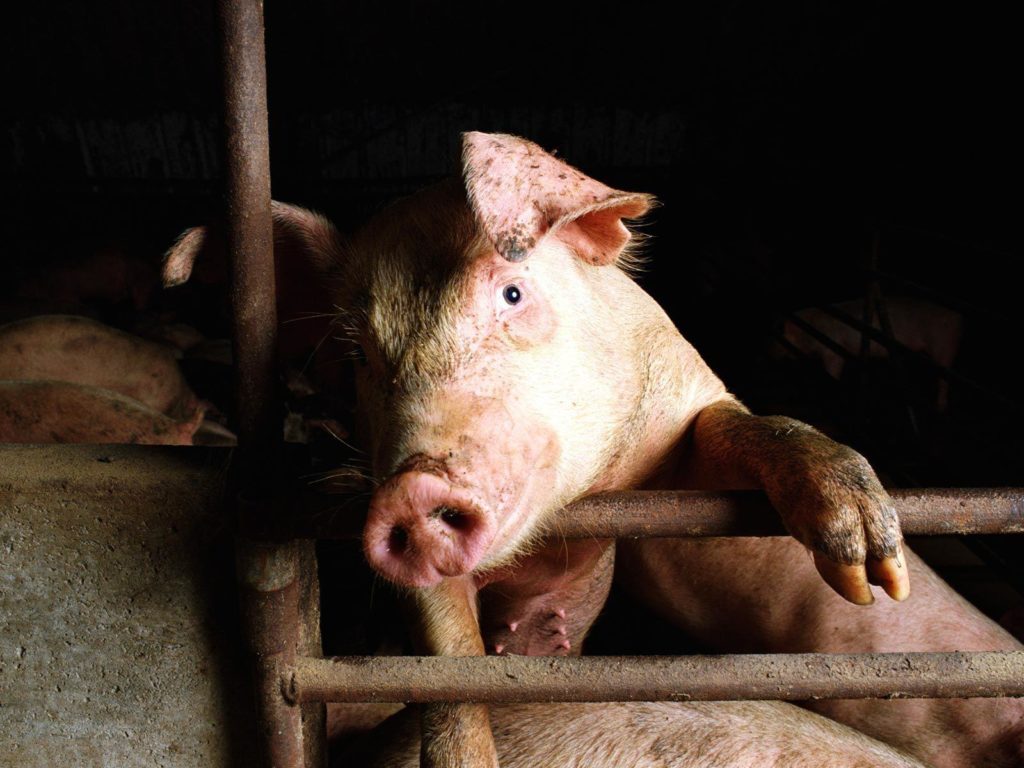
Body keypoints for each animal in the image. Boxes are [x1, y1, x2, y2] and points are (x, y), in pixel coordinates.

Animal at [164, 132, 1019, 767]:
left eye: (512, 293)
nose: (413, 488)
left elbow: (742, 430)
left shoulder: (679, 434)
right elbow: (447, 662)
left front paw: (870, 569)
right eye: (359, 356)